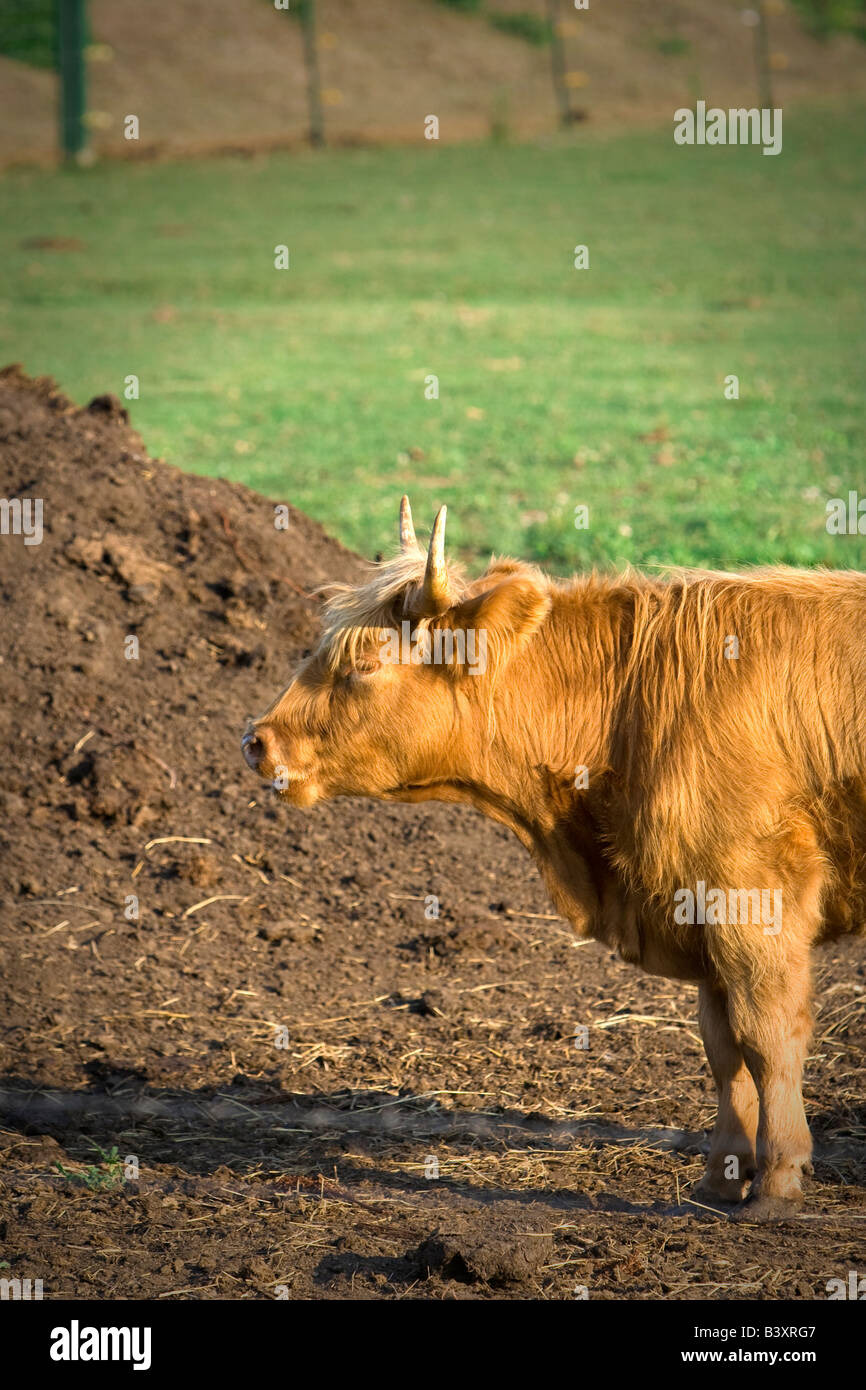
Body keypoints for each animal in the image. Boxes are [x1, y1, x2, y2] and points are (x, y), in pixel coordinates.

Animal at [242, 496, 866, 1219]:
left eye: (367, 663)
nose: (257, 741)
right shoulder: (697, 904)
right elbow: (722, 1049)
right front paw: (718, 1179)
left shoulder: (755, 894)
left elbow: (766, 1040)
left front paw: (777, 1181)